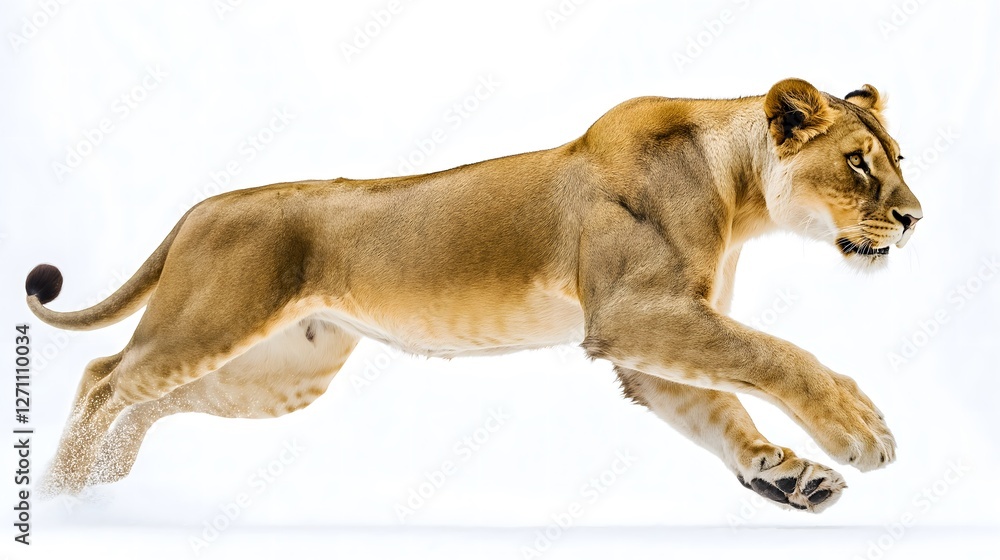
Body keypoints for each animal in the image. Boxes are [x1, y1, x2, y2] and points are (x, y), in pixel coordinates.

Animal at [26, 78, 921, 512]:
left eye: (900, 157)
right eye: (858, 163)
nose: (915, 220)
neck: (741, 199)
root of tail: (198, 207)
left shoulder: (646, 342)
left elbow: (723, 408)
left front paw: (787, 478)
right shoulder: (635, 312)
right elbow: (773, 353)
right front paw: (858, 428)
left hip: (281, 372)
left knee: (146, 401)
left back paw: (99, 485)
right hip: (212, 318)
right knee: (104, 376)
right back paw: (62, 496)